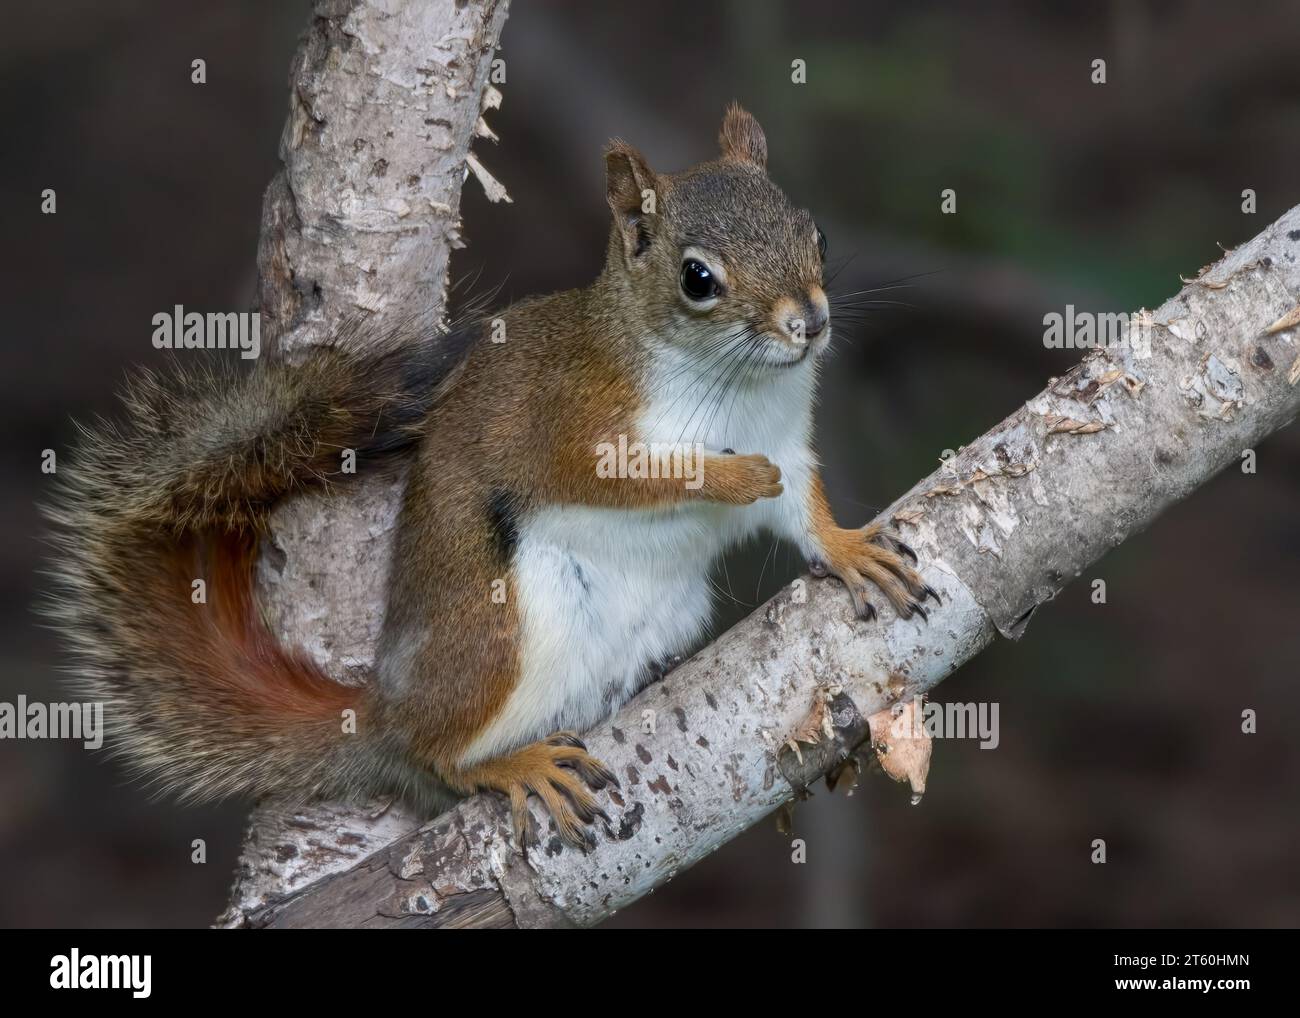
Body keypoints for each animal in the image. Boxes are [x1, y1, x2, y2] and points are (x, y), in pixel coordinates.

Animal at [46, 105, 935, 850]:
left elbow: (805, 510)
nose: (809, 323)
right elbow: (625, 479)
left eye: (815, 232)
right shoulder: (566, 428)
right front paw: (729, 479)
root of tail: (384, 716)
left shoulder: (789, 435)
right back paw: (511, 765)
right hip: (498, 632)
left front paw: (850, 549)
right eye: (697, 278)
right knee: (442, 757)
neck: (734, 386)